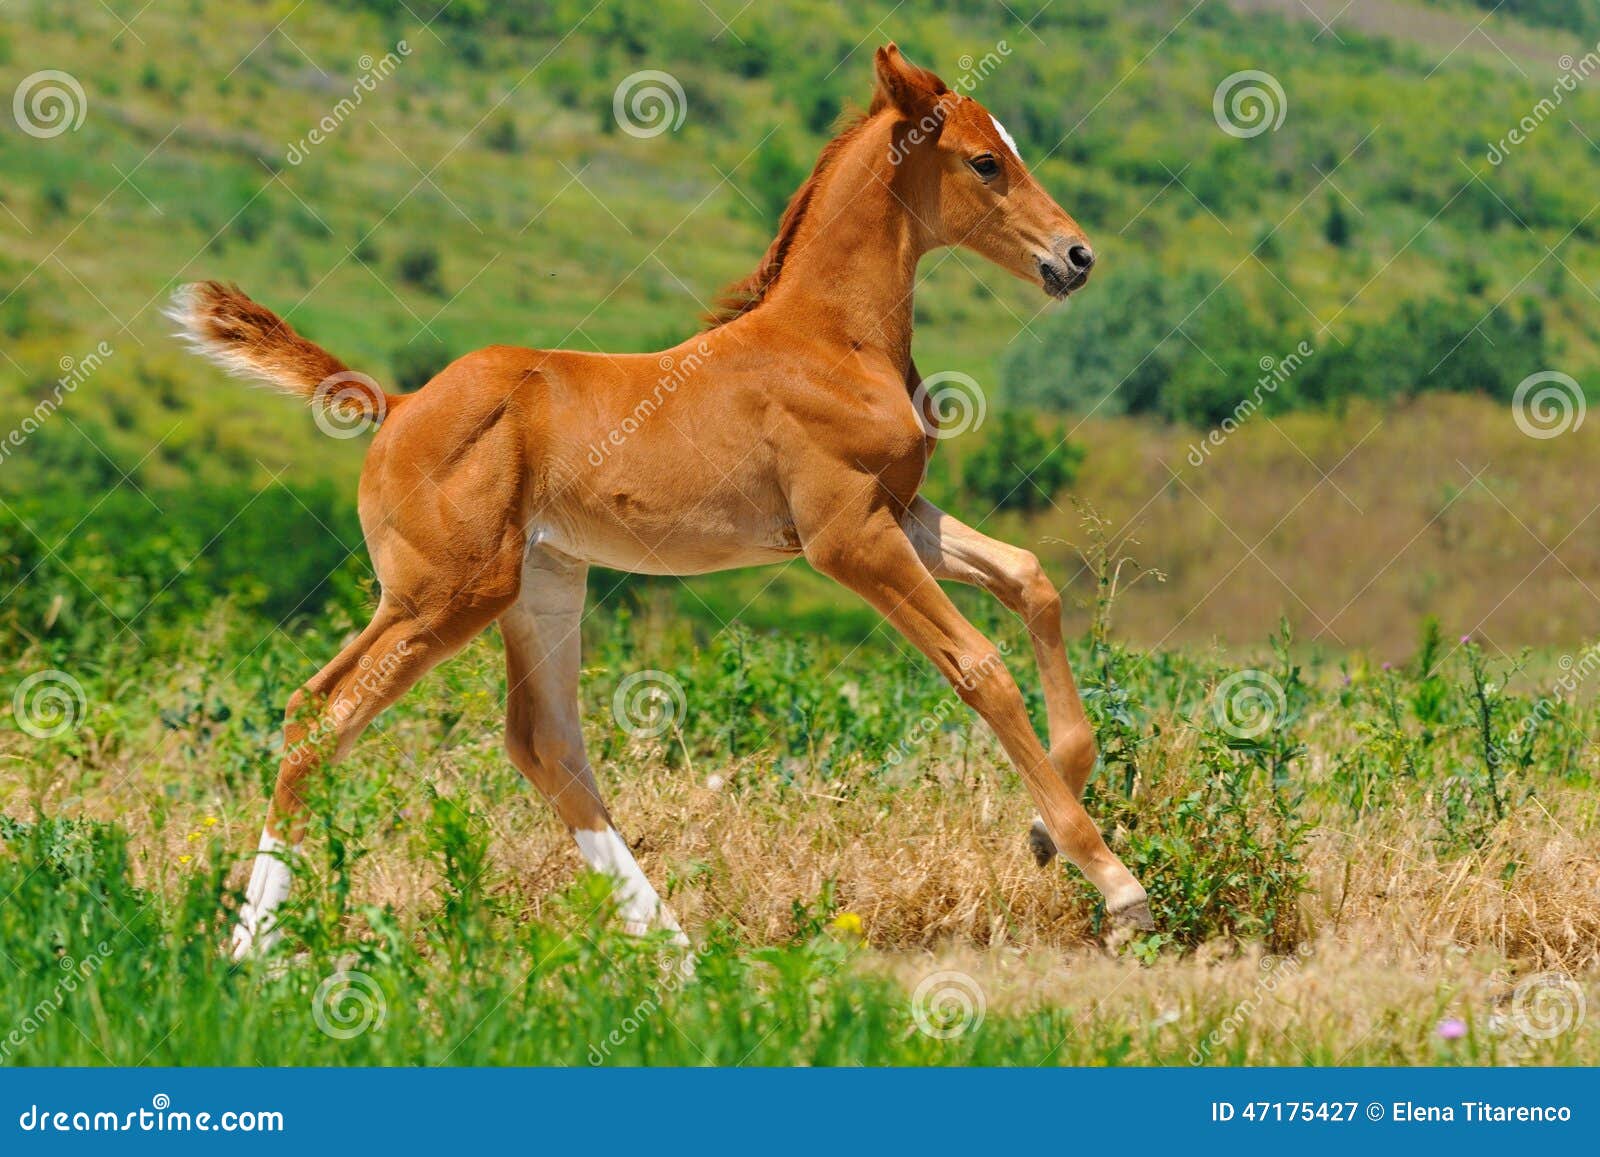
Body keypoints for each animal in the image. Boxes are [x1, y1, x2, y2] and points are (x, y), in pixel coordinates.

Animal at [168, 43, 1152, 959]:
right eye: (986, 161)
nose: (1077, 257)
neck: (832, 336)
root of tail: (399, 403)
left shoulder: (900, 511)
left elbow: (1030, 579)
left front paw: (1044, 830)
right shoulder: (845, 536)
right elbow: (979, 665)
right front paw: (1113, 881)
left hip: (540, 585)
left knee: (546, 745)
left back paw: (675, 950)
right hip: (442, 594)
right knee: (319, 713)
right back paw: (251, 949)